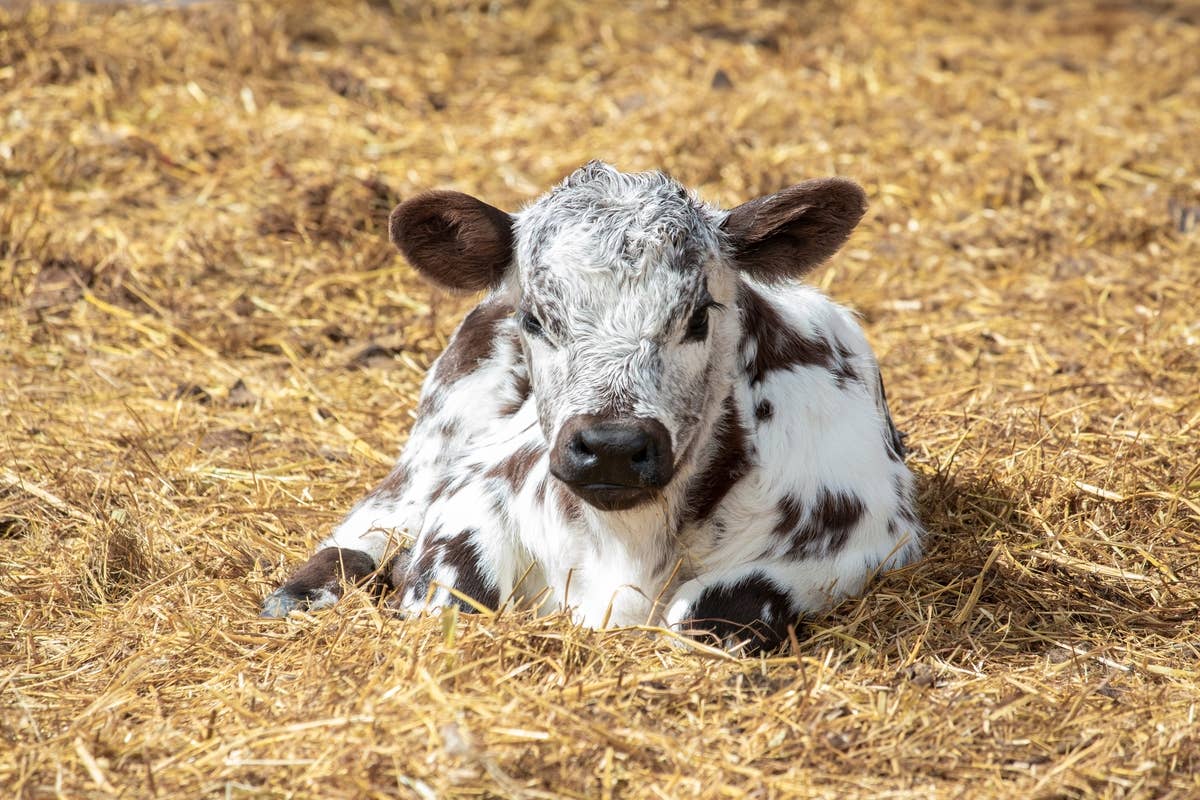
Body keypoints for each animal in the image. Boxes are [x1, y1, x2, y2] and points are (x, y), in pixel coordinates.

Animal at [261, 161, 922, 654]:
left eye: (698, 316)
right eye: (535, 318)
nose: (612, 447)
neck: (629, 543)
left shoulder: (868, 535)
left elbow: (709, 616)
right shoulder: (467, 499)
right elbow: (444, 595)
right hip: (435, 439)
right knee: (373, 519)